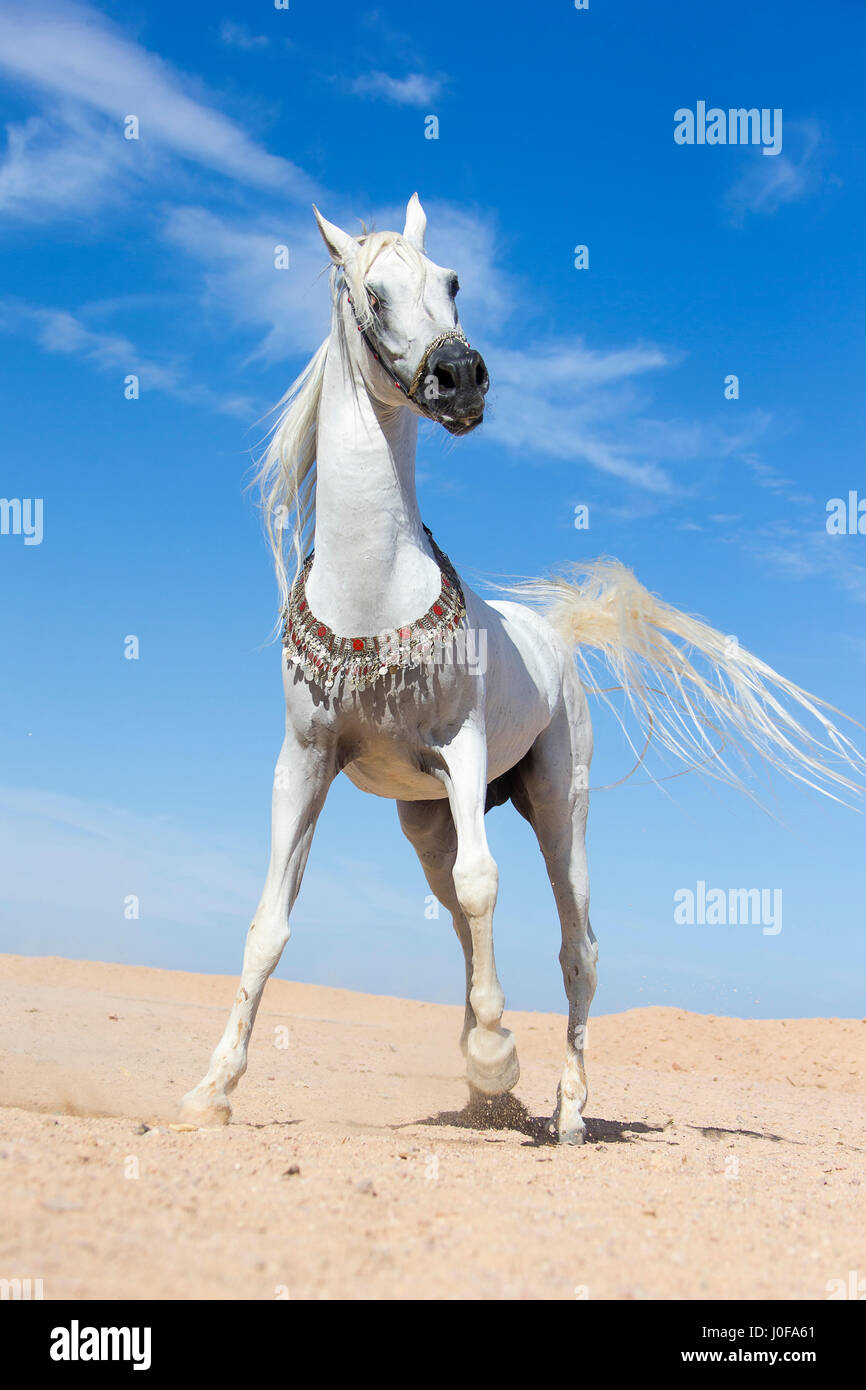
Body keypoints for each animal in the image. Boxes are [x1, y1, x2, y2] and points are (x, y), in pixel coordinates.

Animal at [180, 193, 864, 1142]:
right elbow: (268, 924)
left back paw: (564, 1106)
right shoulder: (304, 764)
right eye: (374, 294)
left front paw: (500, 1053)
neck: (370, 594)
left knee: (576, 947)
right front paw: (212, 1090)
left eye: (454, 282)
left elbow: (483, 888)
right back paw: (483, 1090)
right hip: (427, 821)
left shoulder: (460, 750)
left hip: (555, 806)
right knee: (464, 928)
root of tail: (558, 637)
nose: (461, 376)